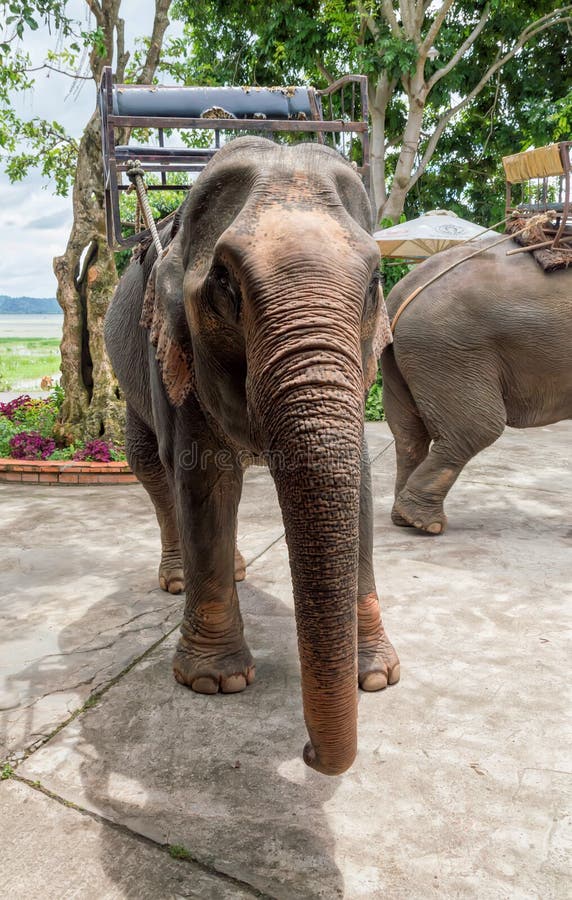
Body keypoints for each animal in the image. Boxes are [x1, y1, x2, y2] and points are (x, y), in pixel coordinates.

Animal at [105, 136, 400, 776]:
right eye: (227, 285)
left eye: (373, 284)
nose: (308, 751)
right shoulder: (173, 345)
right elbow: (202, 478)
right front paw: (214, 682)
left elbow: (361, 484)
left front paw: (375, 676)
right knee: (150, 464)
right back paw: (176, 580)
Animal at [381, 236, 572, 534]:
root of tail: (407, 289)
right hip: (450, 348)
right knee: (478, 427)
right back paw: (424, 522)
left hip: (406, 357)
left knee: (408, 434)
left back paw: (404, 519)